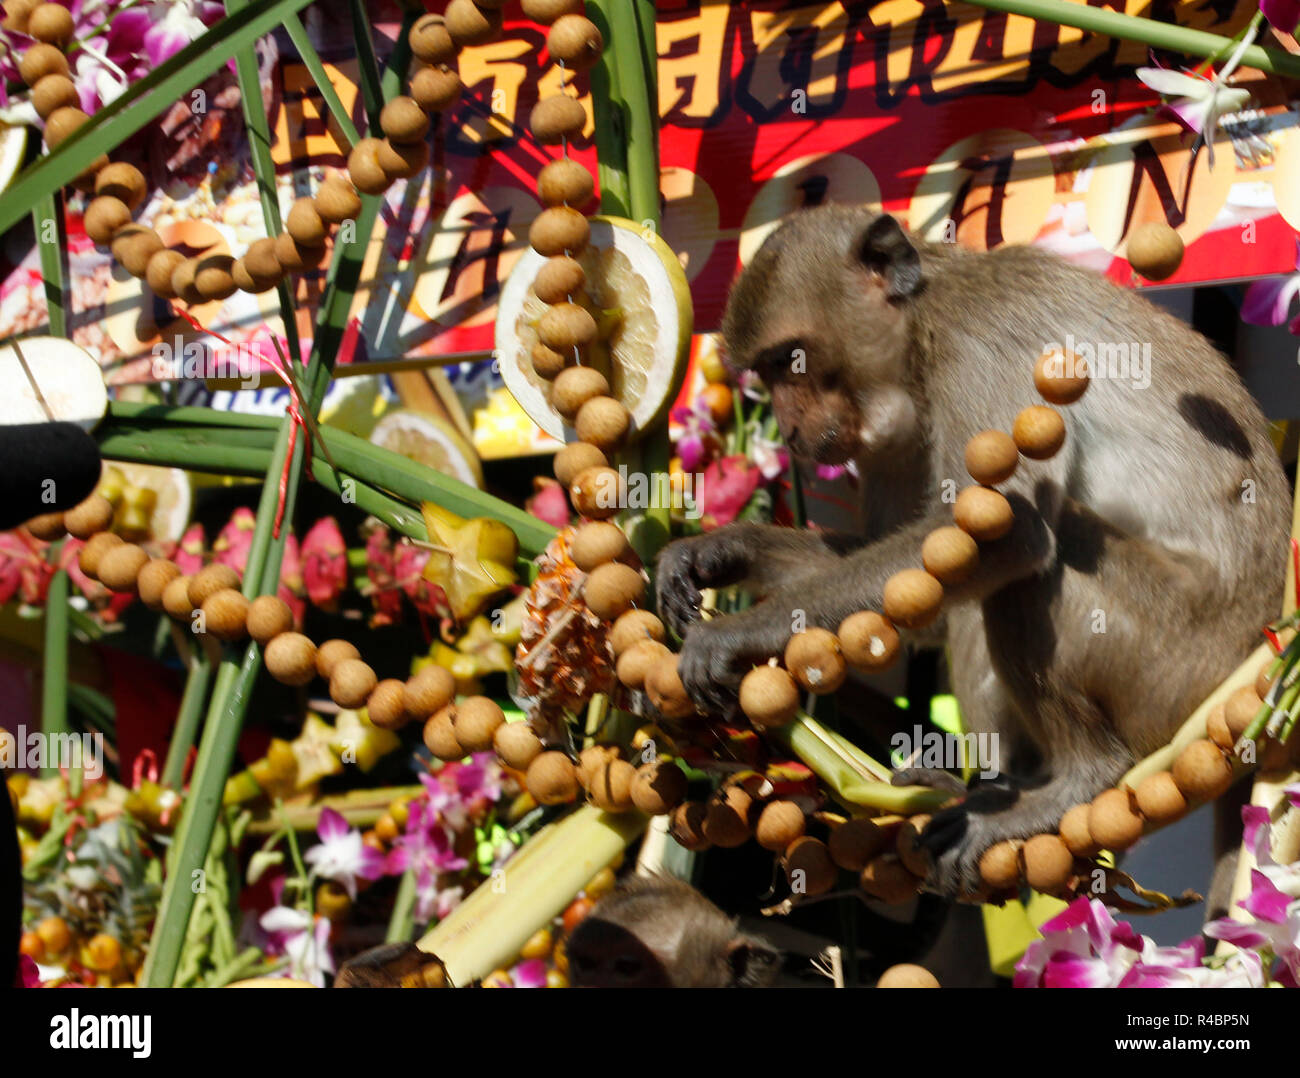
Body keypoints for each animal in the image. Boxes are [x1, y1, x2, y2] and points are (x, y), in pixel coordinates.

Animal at [655, 205, 1290, 896]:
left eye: (787, 360)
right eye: (766, 371)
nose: (791, 431)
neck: (922, 326)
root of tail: (1251, 657)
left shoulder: (979, 344)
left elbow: (1006, 535)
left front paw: (735, 634)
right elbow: (929, 593)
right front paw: (717, 551)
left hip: (1170, 665)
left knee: (1040, 561)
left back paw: (1076, 779)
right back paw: (987, 786)